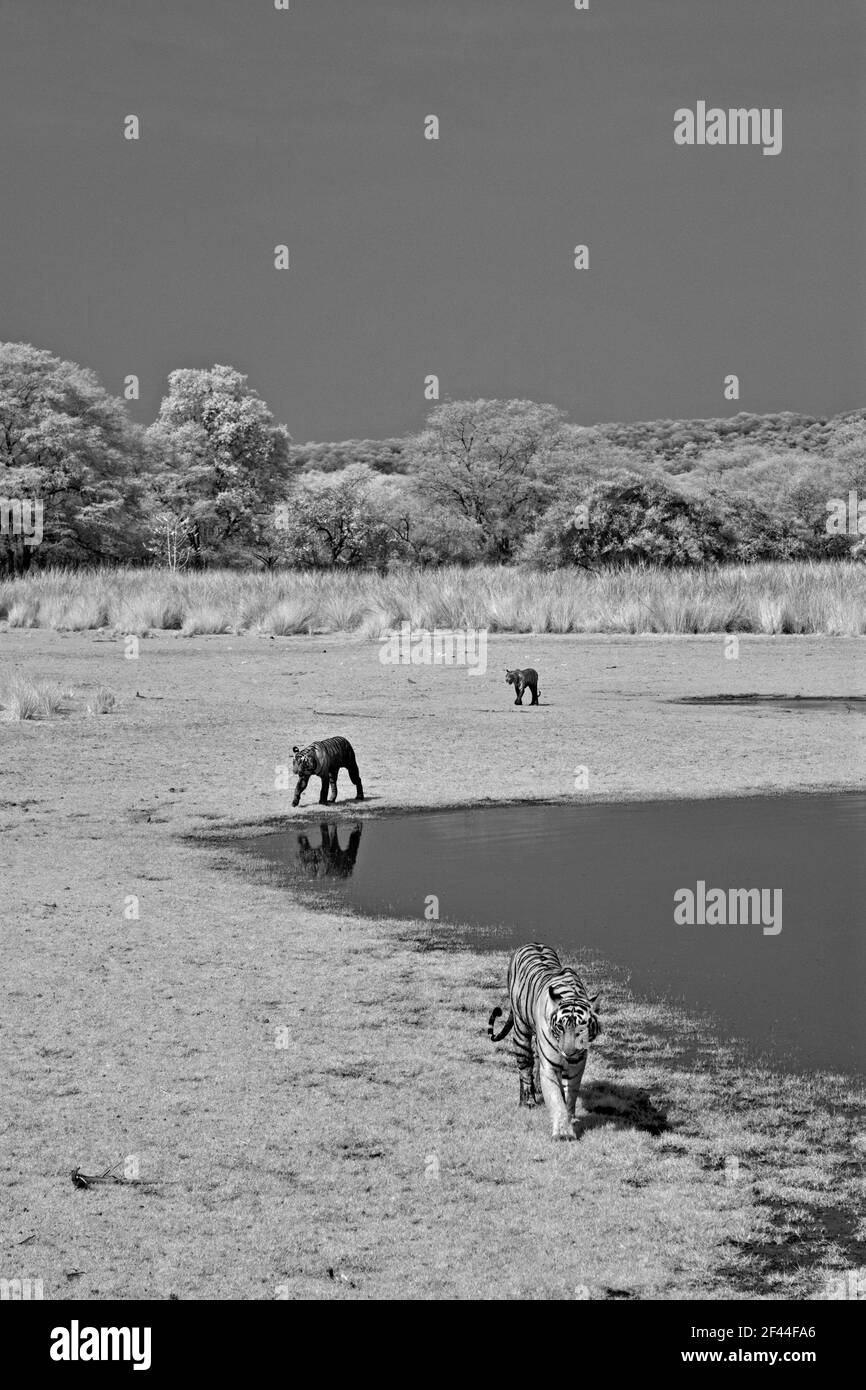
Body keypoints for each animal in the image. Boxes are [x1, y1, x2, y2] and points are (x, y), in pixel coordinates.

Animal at [488, 943, 601, 1140]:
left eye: (581, 1029)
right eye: (561, 1027)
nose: (568, 1052)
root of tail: (532, 943)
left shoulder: (577, 1065)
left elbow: (569, 1097)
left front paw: (571, 1120)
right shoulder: (550, 1065)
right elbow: (556, 1099)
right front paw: (563, 1133)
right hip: (521, 1031)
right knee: (525, 1067)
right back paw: (528, 1101)